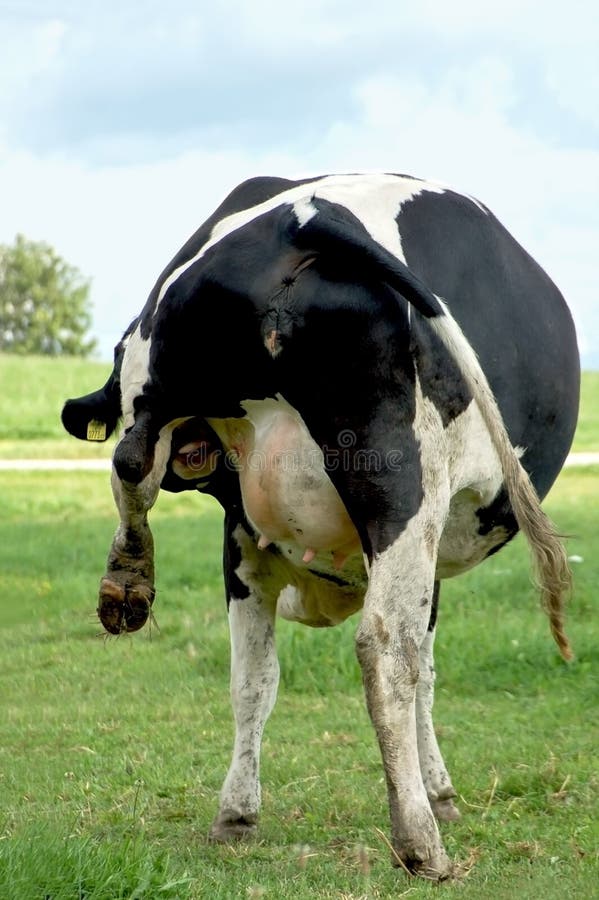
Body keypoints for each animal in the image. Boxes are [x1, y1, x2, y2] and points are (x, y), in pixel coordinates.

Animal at [62, 173, 580, 880]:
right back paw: (420, 842)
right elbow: (422, 669)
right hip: (401, 483)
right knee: (385, 648)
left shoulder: (241, 534)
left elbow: (257, 676)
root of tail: (308, 216)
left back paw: (129, 591)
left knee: (133, 467)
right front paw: (439, 795)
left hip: (166, 399)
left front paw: (239, 814)